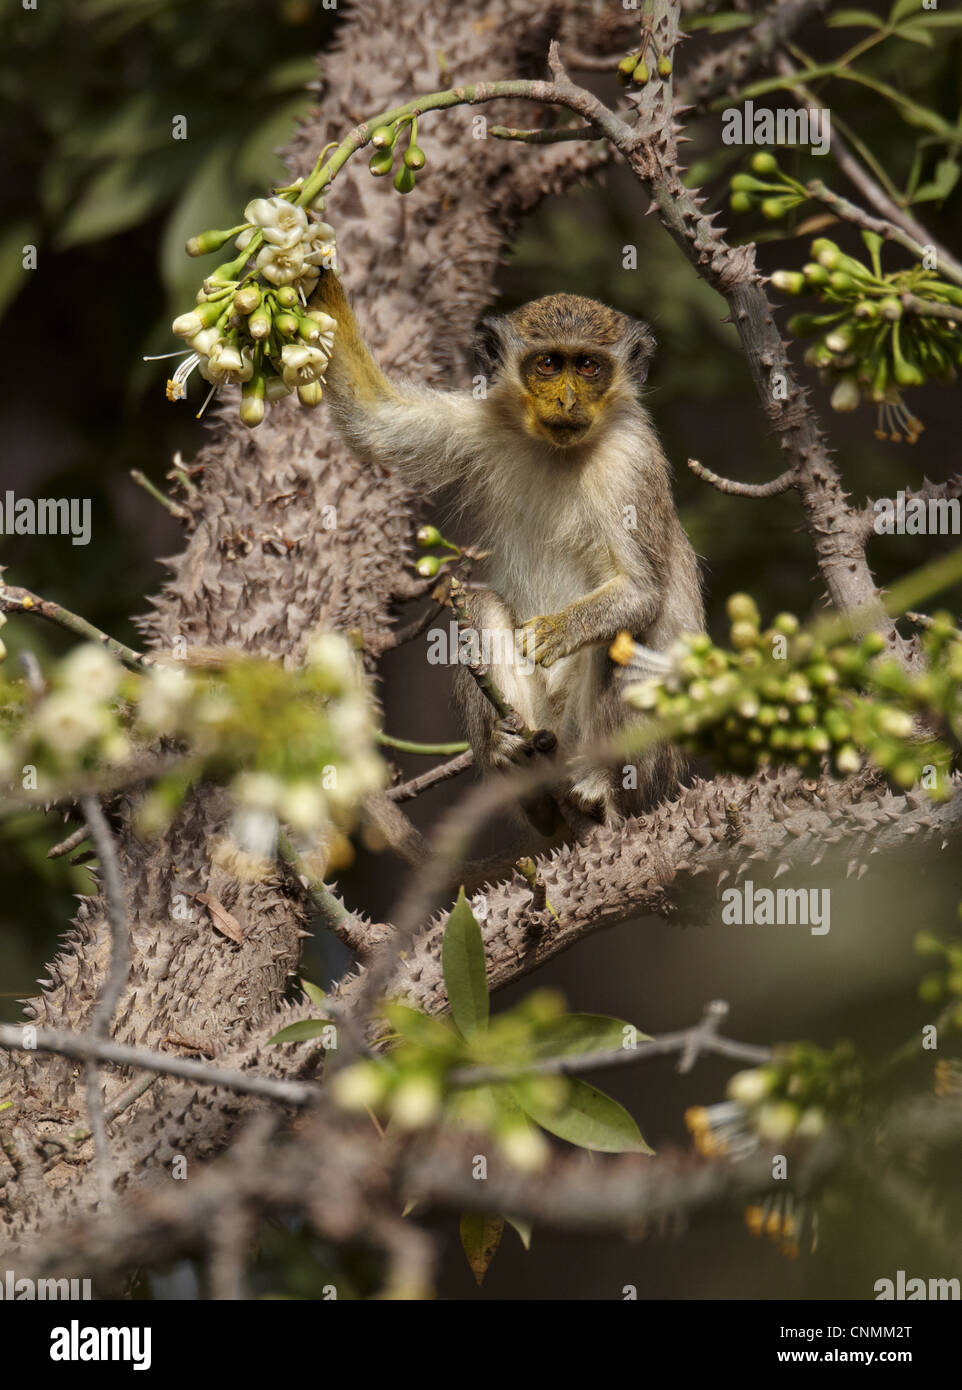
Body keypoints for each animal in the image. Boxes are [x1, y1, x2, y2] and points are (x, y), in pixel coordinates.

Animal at [310, 272, 704, 831]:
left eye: (588, 365)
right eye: (548, 364)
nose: (566, 400)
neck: (559, 450)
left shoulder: (633, 462)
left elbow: (642, 591)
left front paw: (555, 632)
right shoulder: (484, 418)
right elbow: (375, 422)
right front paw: (317, 281)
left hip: (646, 764)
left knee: (622, 639)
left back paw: (600, 790)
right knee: (480, 604)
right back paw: (513, 755)